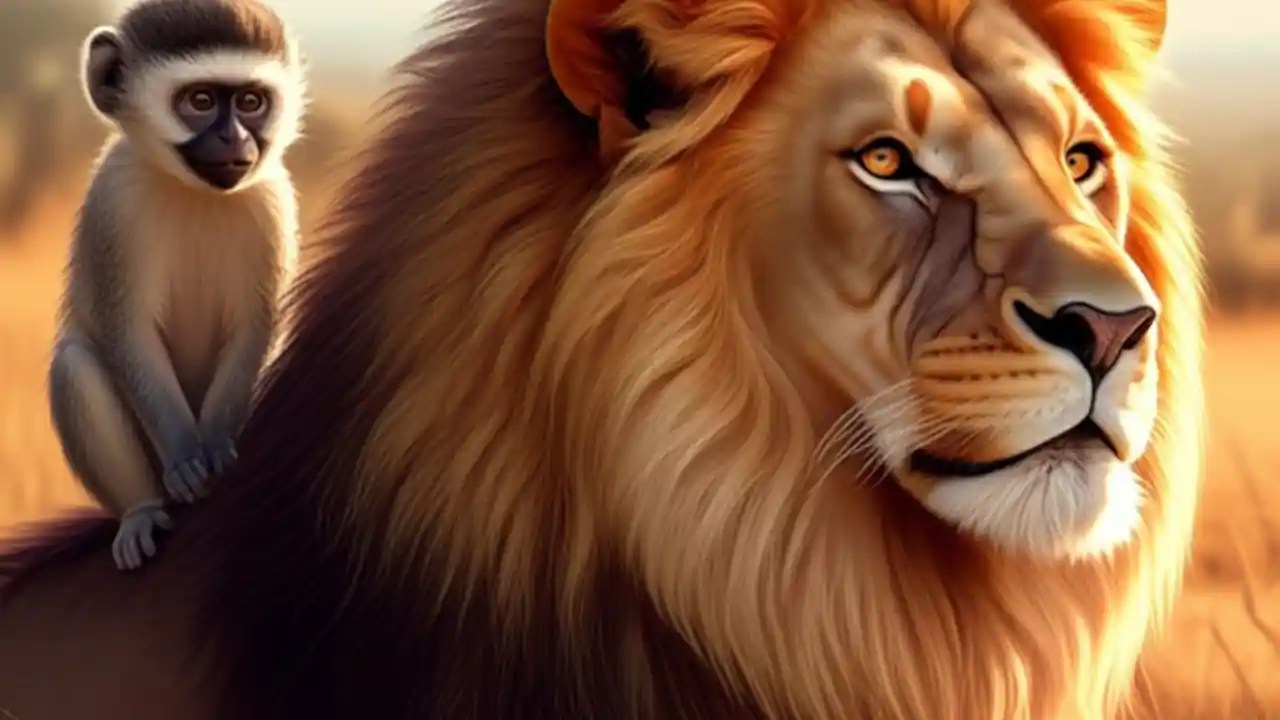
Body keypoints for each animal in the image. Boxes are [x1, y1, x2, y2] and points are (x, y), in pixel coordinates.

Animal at [48, 0, 306, 571]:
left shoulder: (273, 202)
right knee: (75, 366)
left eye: (251, 102)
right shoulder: (115, 200)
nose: (235, 139)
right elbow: (128, 335)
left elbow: (255, 331)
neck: (197, 192)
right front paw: (188, 455)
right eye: (201, 101)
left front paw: (215, 447)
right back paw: (141, 512)